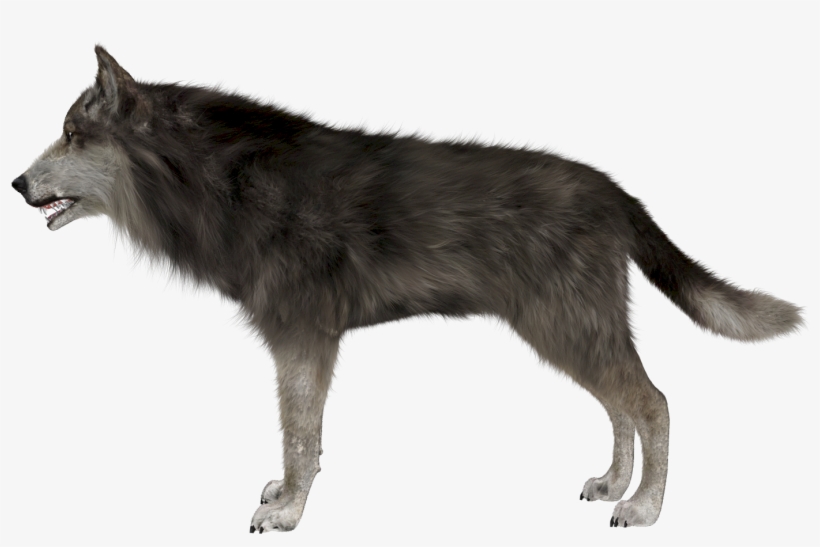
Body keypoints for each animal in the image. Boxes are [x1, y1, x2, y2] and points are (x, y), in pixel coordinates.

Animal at [11, 46, 802, 533]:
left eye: (73, 134)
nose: (16, 183)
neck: (221, 182)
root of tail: (615, 191)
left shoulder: (302, 339)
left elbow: (300, 436)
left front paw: (289, 511)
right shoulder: (306, 344)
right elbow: (304, 438)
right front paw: (287, 496)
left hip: (567, 324)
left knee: (653, 402)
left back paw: (645, 509)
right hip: (569, 328)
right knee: (623, 406)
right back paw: (614, 484)